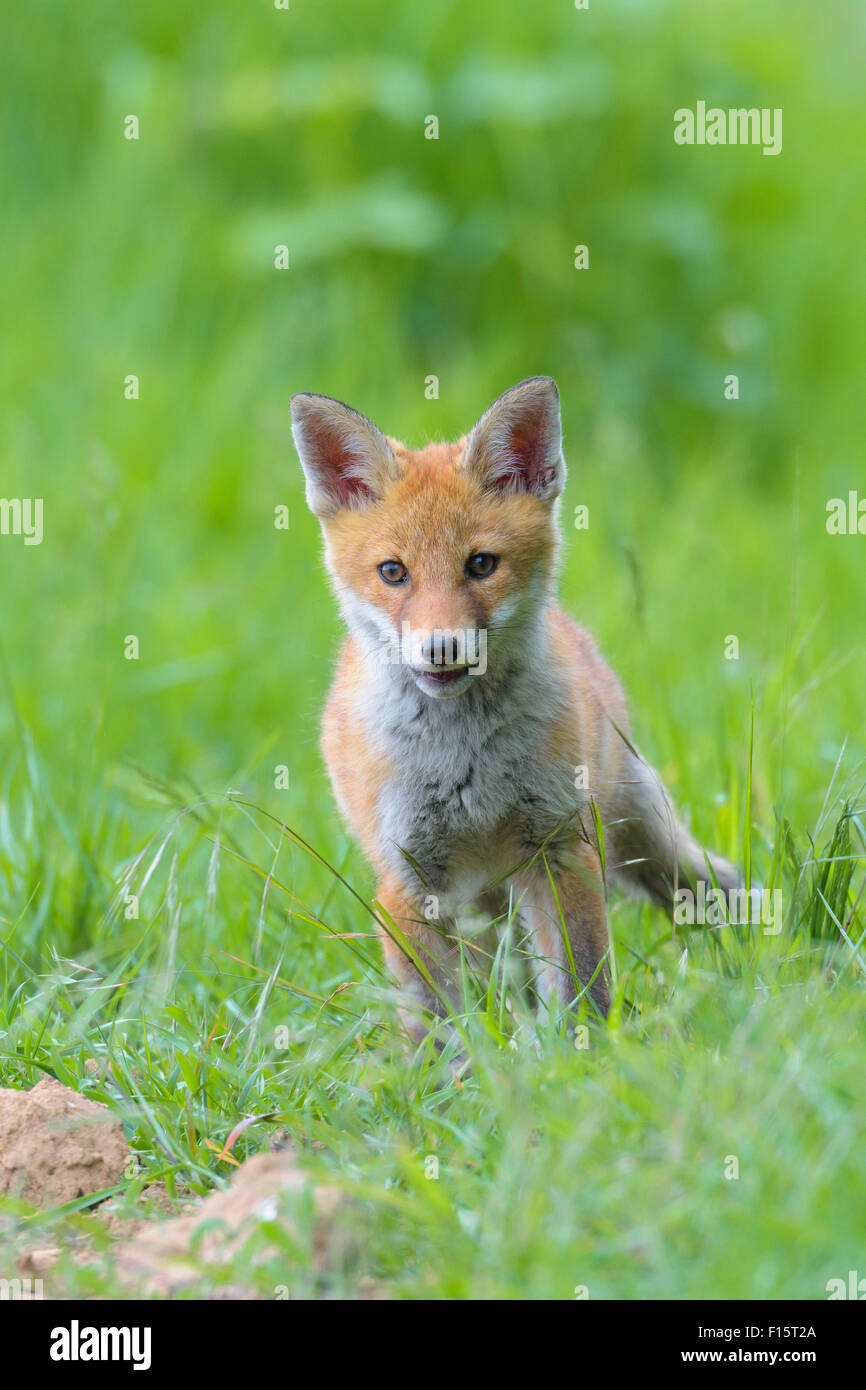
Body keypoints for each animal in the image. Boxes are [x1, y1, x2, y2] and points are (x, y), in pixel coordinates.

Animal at [290, 377, 739, 1043]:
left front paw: (580, 1056)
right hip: (483, 903)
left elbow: (581, 985)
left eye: (481, 564)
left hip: (642, 830)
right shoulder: (406, 880)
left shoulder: (559, 847)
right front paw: (455, 1068)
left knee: (711, 885)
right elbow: (440, 1015)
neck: (462, 764)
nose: (442, 647)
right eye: (393, 572)